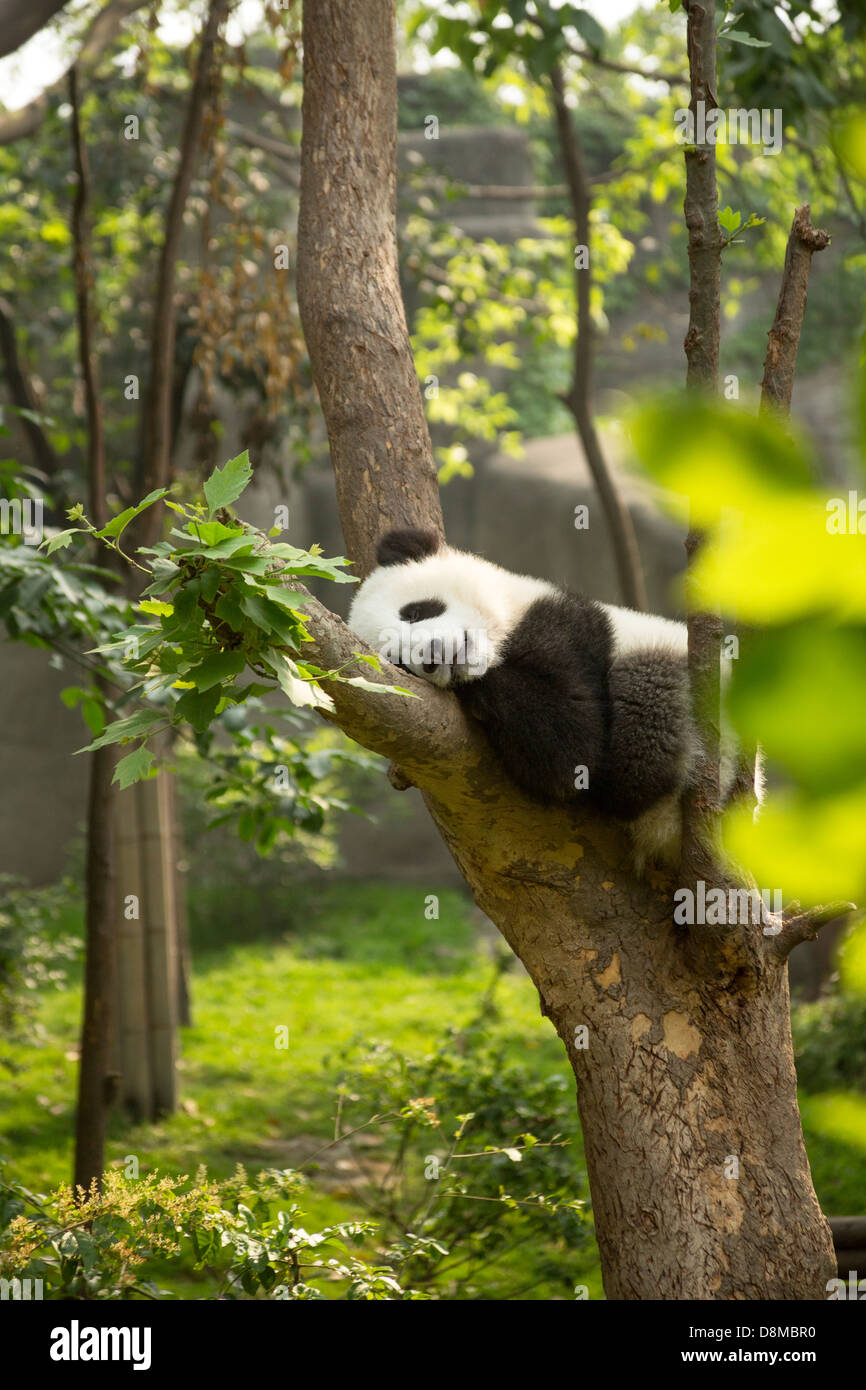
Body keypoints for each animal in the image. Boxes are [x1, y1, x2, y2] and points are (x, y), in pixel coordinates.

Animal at [348, 526, 757, 869]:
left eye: (416, 612)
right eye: (398, 662)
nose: (433, 656)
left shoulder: (566, 625)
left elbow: (574, 748)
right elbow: (567, 755)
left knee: (650, 695)